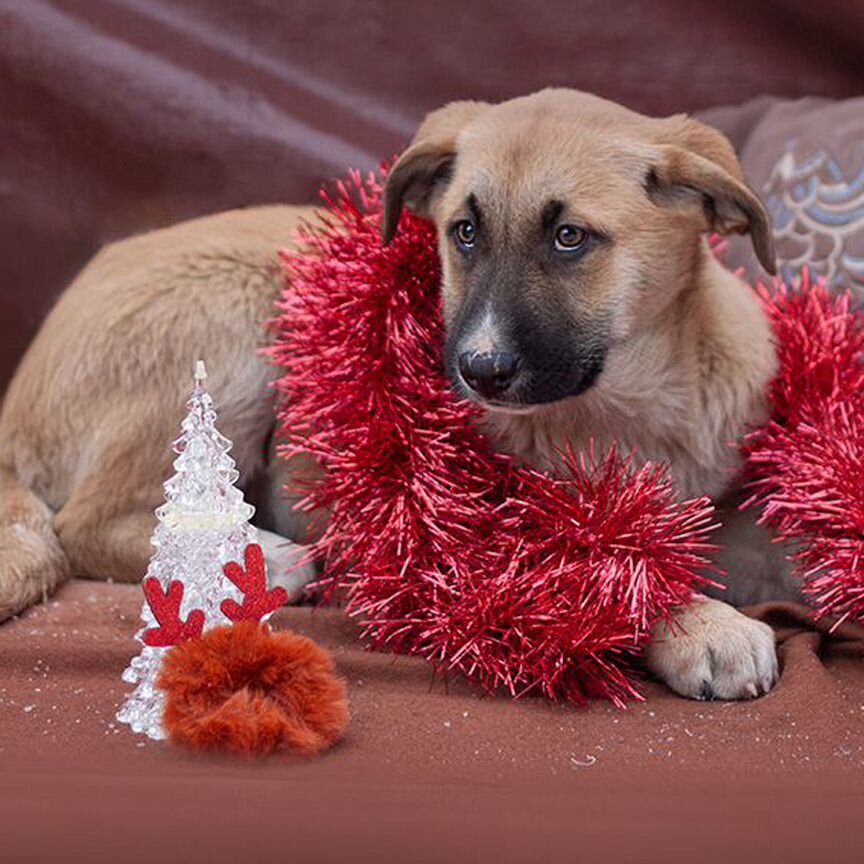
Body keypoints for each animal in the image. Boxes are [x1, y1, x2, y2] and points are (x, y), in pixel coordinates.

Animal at [0, 89, 788, 704]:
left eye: (570, 237)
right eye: (463, 232)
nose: (478, 370)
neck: (632, 405)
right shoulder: (468, 529)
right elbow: (603, 565)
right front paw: (702, 622)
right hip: (234, 311)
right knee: (86, 522)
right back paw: (260, 559)